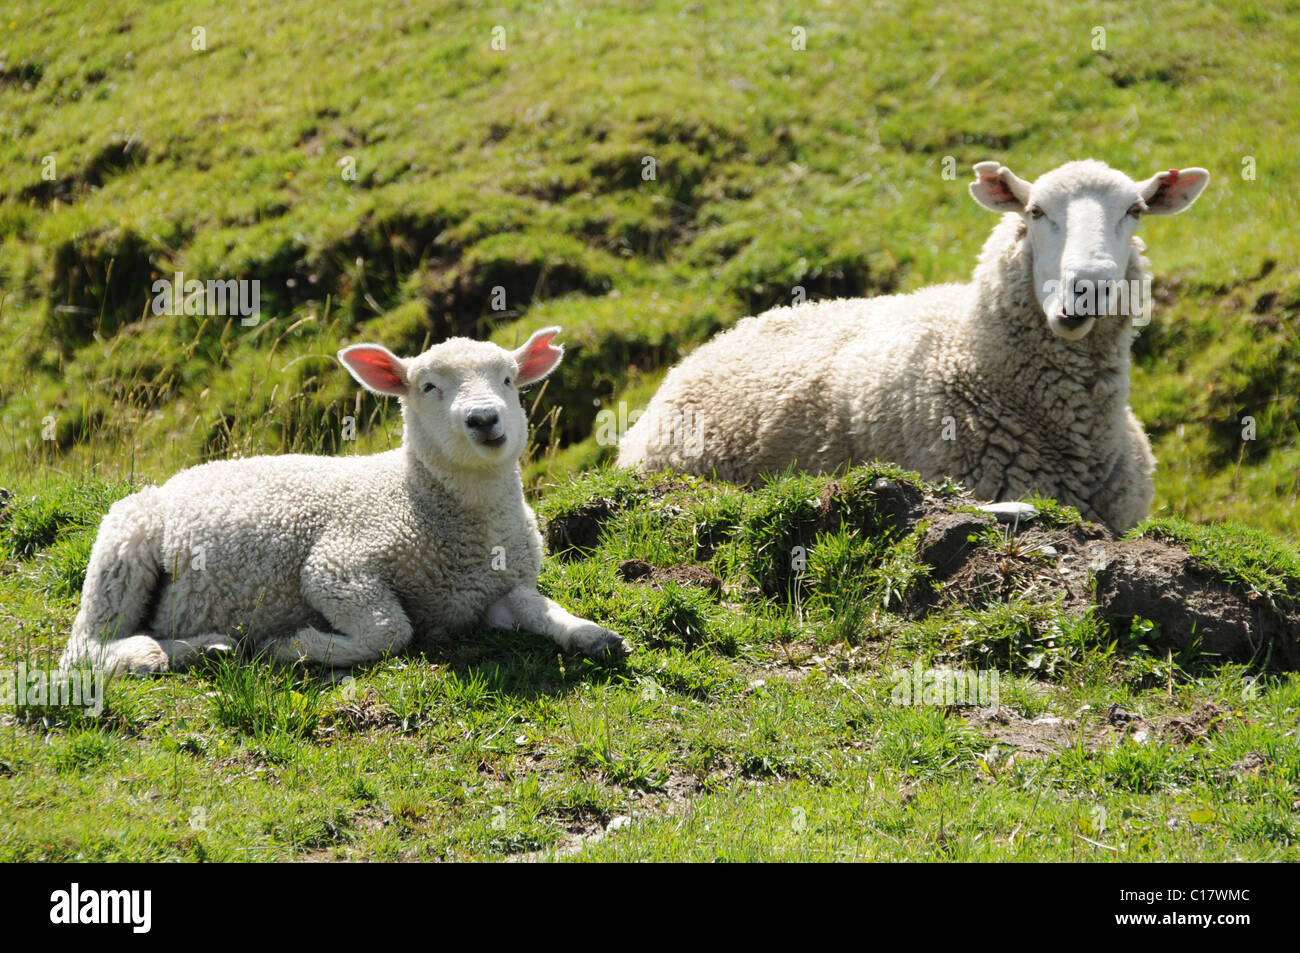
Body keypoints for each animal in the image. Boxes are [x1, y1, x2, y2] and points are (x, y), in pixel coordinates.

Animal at [59, 326, 626, 677]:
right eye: (428, 387)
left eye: (508, 379)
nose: (484, 419)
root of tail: (175, 480)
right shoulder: (338, 565)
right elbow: (389, 631)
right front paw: (295, 648)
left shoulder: (500, 588)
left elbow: (539, 608)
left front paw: (593, 635)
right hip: (122, 544)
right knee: (84, 650)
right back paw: (169, 653)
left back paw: (211, 650)